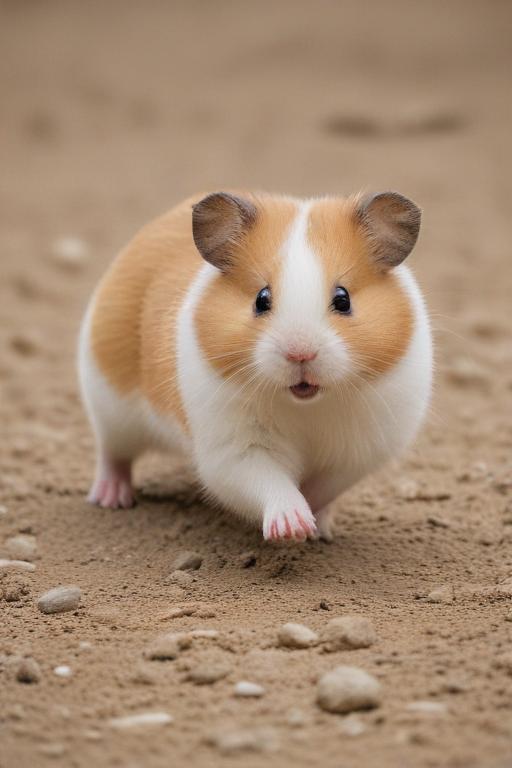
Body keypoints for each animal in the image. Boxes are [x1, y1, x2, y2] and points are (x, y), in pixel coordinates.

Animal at [78, 190, 433, 541]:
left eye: (343, 300)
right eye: (261, 300)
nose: (300, 354)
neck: (307, 405)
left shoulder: (356, 456)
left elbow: (321, 489)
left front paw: (313, 527)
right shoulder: (235, 450)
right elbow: (270, 481)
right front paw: (292, 528)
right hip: (109, 403)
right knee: (112, 454)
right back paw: (110, 499)